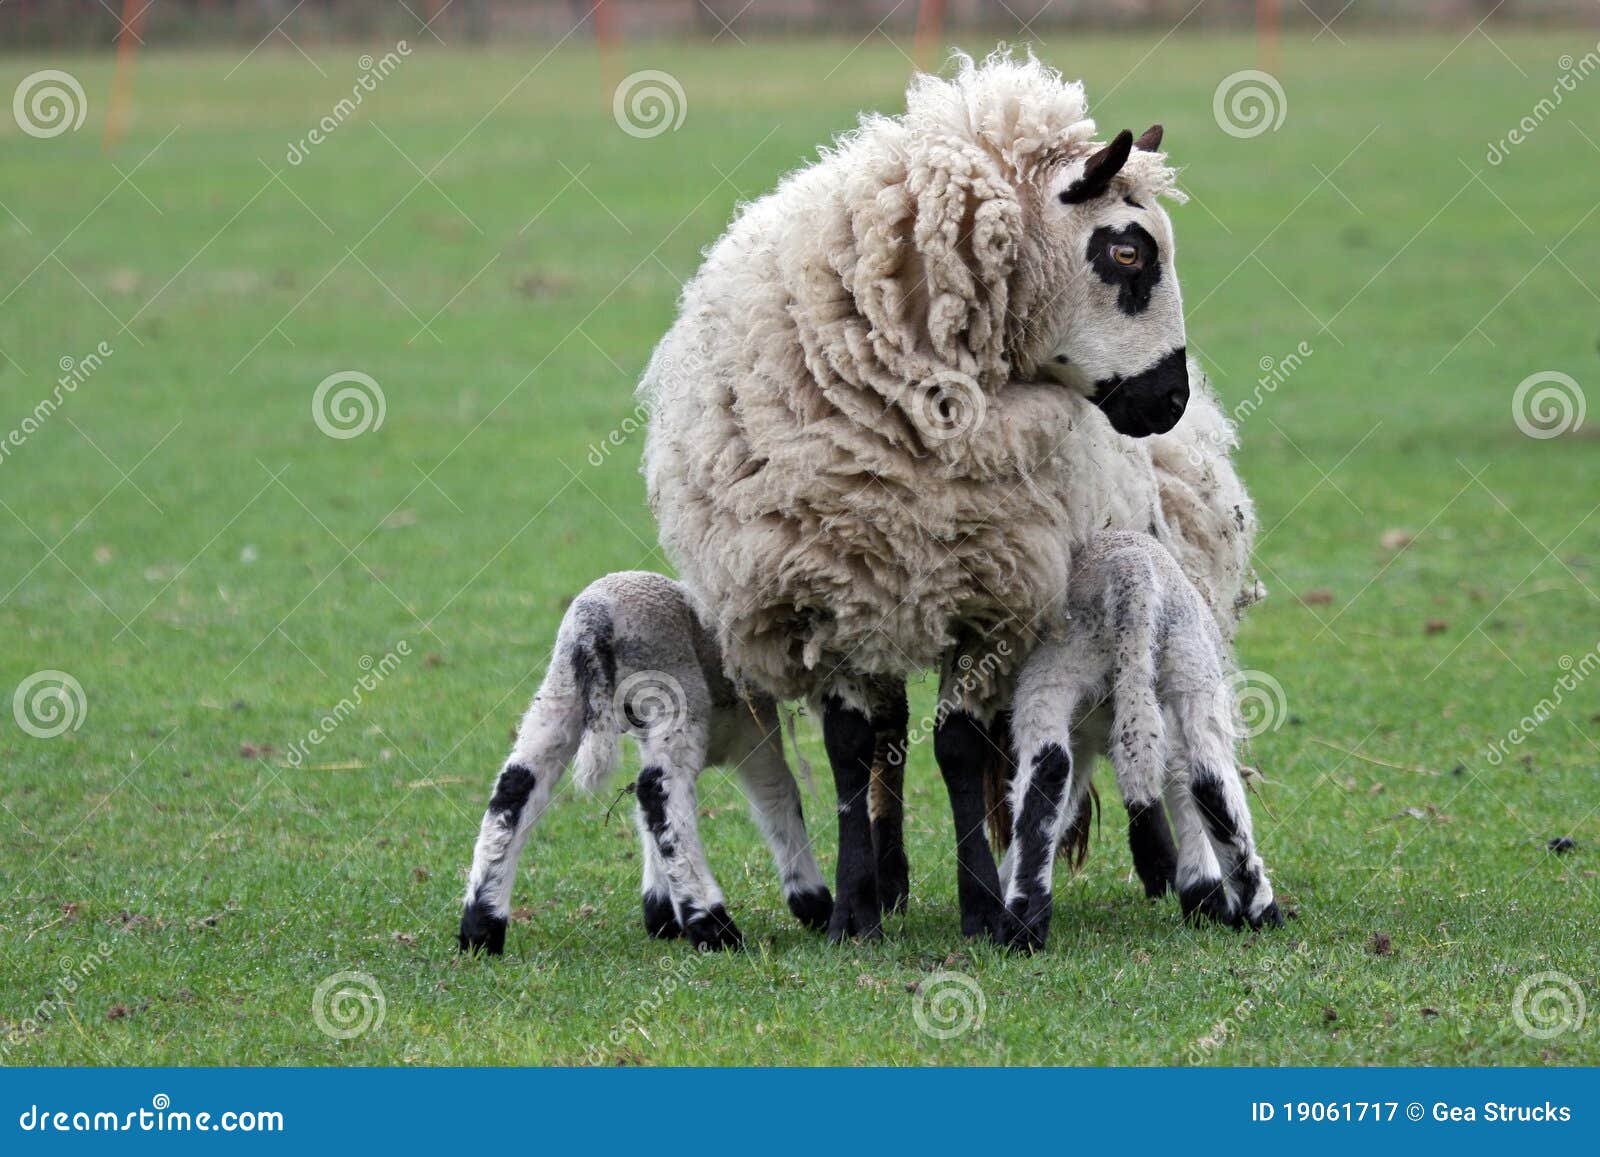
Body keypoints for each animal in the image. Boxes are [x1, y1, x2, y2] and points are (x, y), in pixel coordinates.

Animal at [457, 571, 832, 955]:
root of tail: (594, 619)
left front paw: (660, 912)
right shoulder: (754, 730)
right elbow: (778, 797)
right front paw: (812, 902)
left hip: (560, 696)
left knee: (515, 788)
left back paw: (481, 927)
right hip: (673, 693)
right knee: (661, 794)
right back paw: (714, 925)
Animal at [1001, 531, 1282, 951]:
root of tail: (1131, 583)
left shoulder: (1086, 738)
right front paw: (1205, 898)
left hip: (1072, 669)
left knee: (1051, 771)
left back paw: (1022, 923)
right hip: (1187, 669)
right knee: (1210, 778)